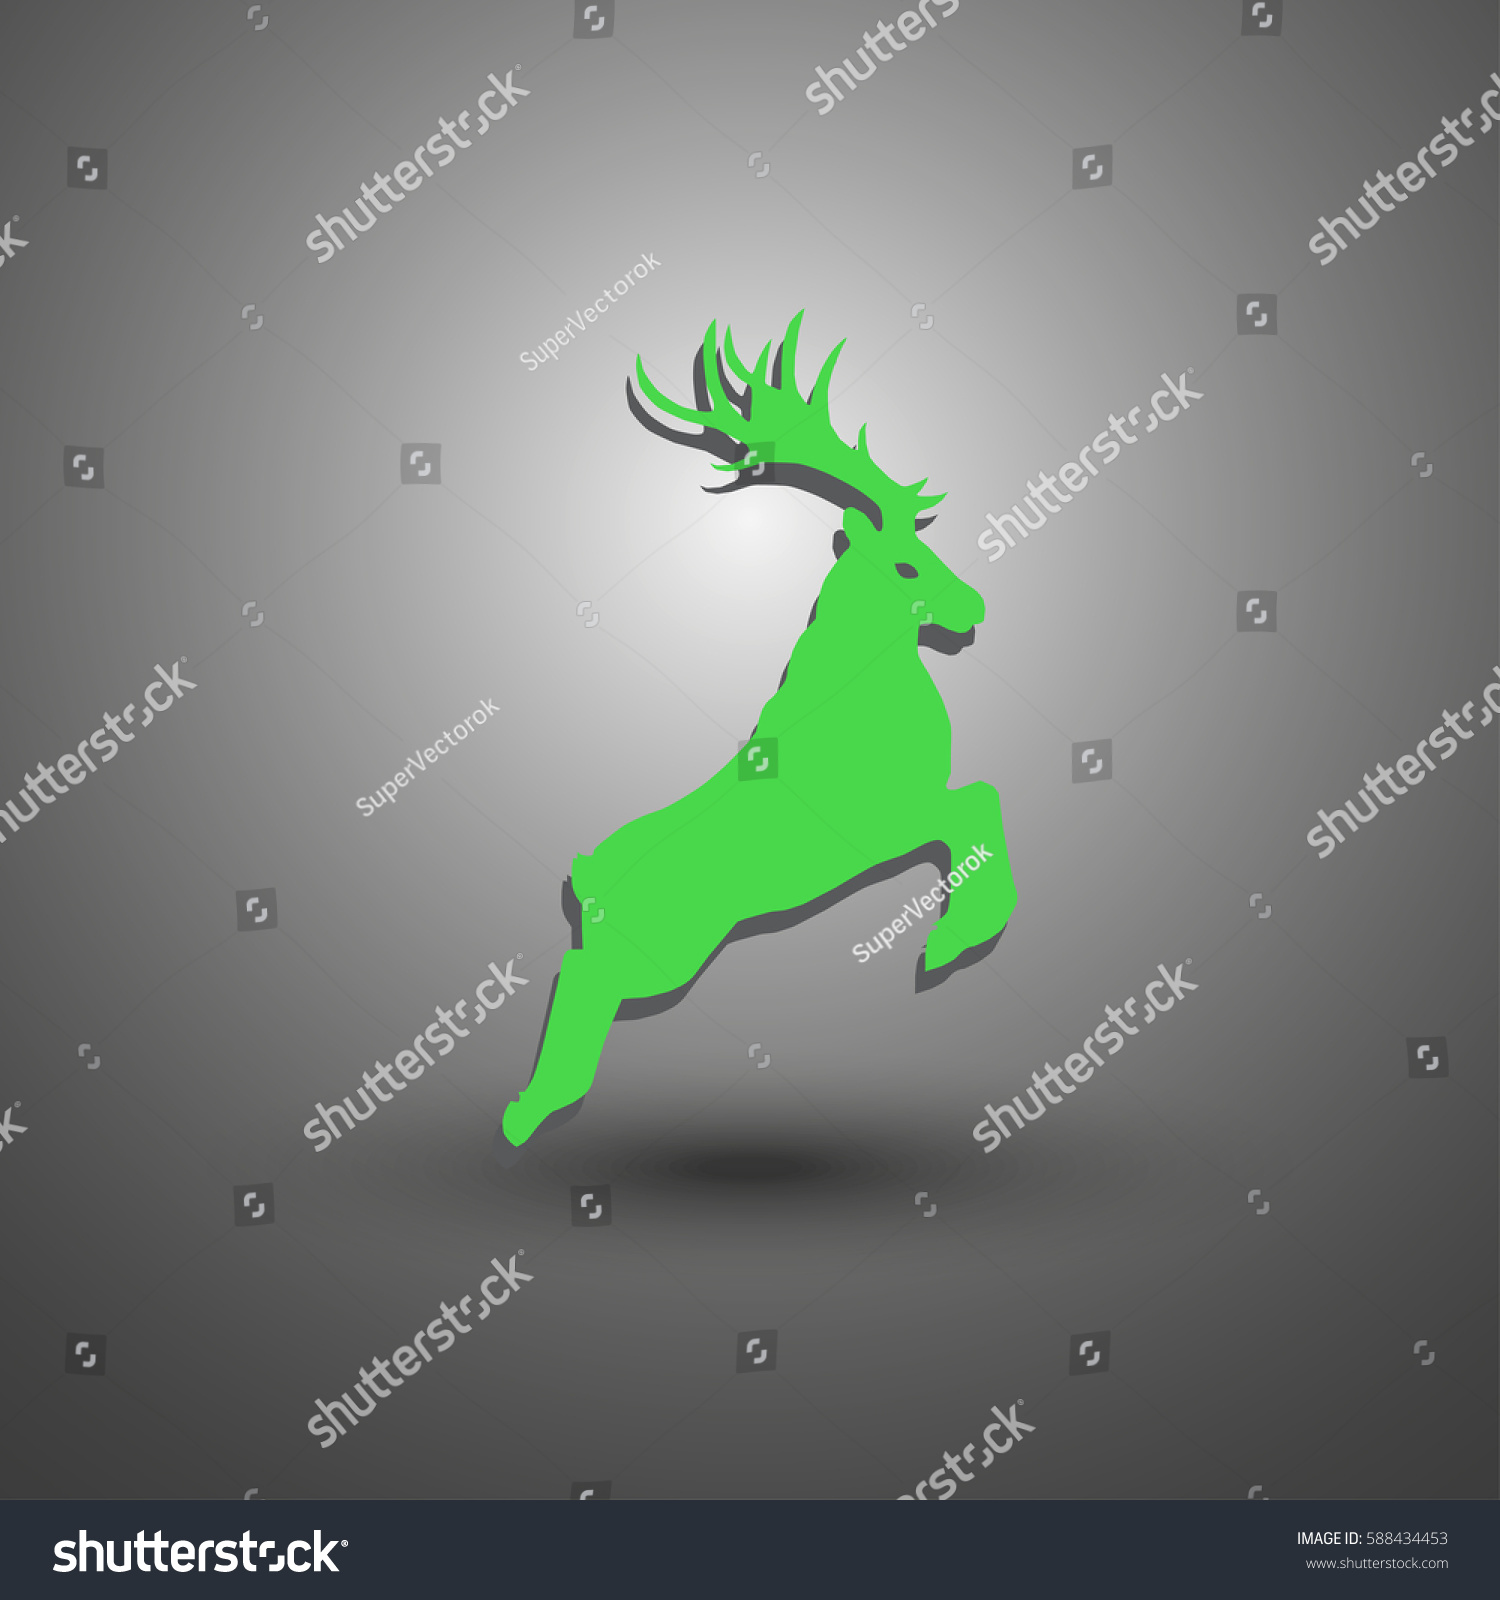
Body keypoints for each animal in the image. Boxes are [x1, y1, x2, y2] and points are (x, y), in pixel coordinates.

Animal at [492, 312, 1017, 1163]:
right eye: (906, 566)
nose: (971, 609)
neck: (861, 696)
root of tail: (585, 877)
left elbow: (980, 799)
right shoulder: (886, 822)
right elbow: (978, 801)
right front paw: (946, 945)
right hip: (661, 954)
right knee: (581, 985)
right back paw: (527, 1115)